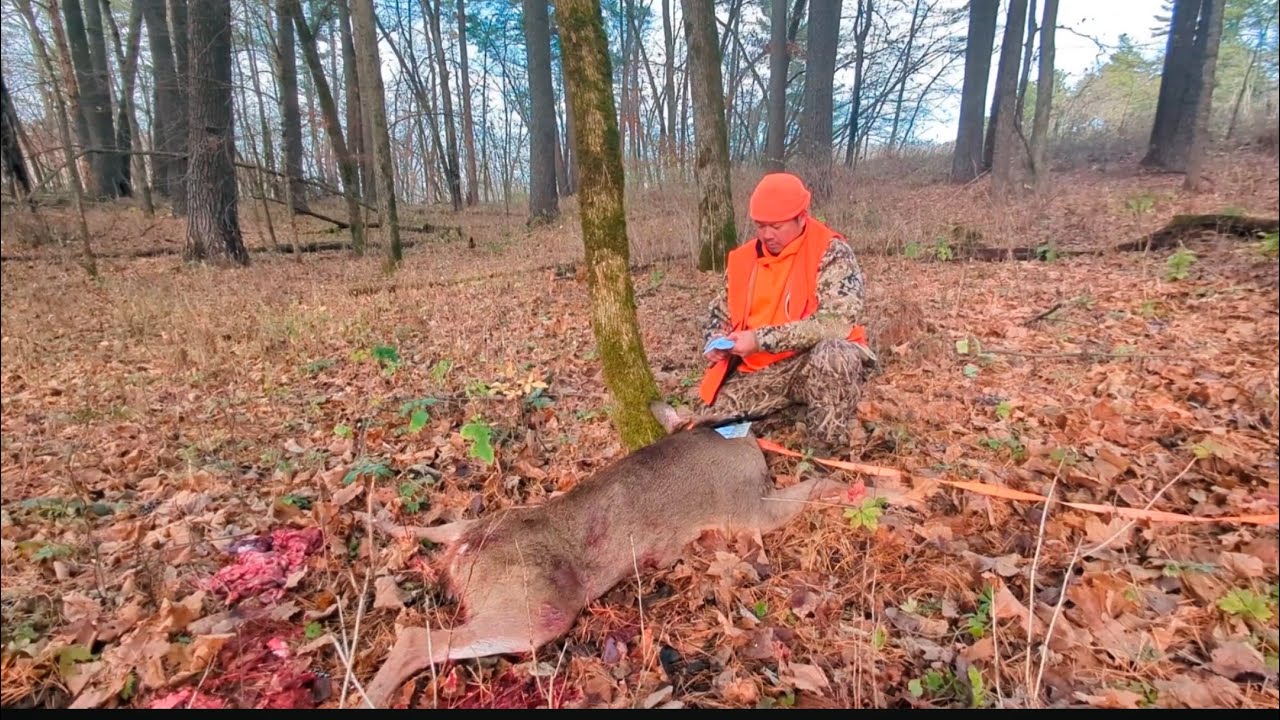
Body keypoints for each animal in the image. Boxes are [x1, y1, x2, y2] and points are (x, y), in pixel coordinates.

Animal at [360, 402, 850, 708]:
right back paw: (368, 696)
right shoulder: (749, 507)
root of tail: (468, 551)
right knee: (413, 638)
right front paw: (869, 488)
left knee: (442, 529)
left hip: (483, 533)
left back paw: (379, 518)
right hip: (538, 607)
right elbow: (821, 484)